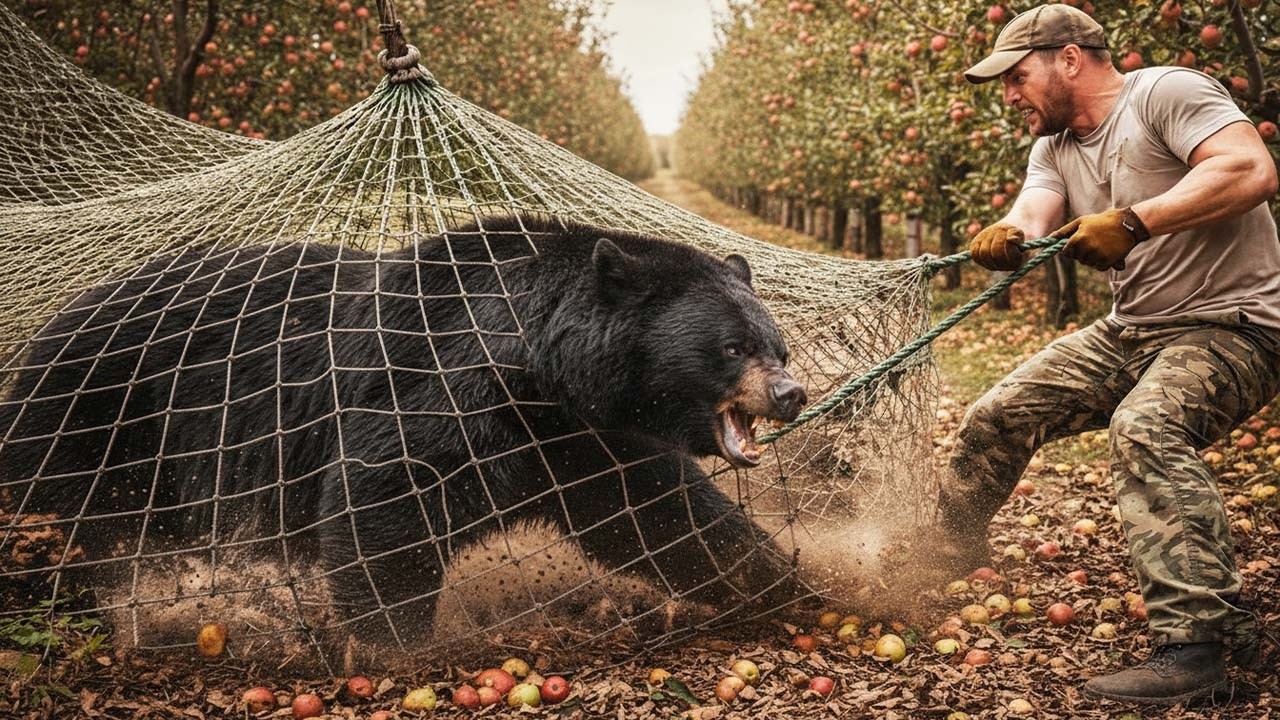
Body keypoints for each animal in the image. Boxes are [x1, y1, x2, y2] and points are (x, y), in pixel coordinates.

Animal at [0, 215, 809, 648]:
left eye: (778, 345)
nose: (792, 394)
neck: (542, 376)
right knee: (61, 518)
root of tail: (50, 328)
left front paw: (788, 585)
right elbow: (387, 500)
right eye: (733, 347)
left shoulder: (586, 441)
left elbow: (663, 516)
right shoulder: (444, 388)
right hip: (100, 421)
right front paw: (396, 650)